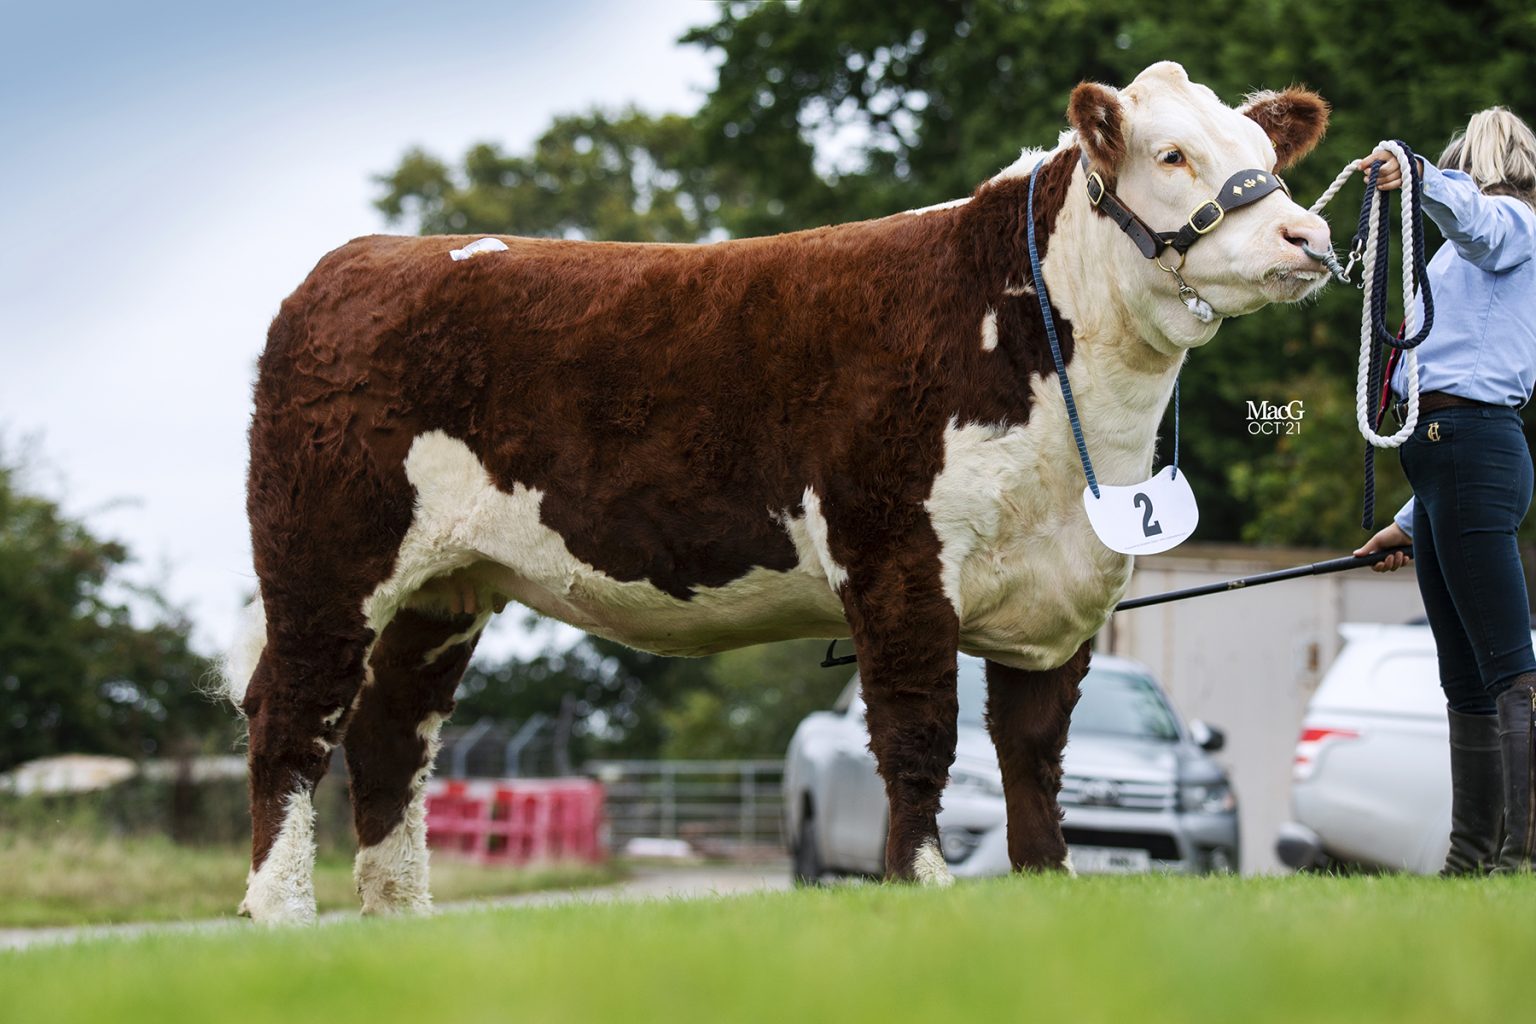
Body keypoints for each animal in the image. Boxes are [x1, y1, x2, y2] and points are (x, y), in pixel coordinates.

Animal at [223, 61, 1331, 923]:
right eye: (1172, 156)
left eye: (1267, 159)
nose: (1308, 239)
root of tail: (355, 263)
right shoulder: (894, 559)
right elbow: (921, 734)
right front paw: (921, 883)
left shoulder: (1062, 591)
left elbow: (1032, 755)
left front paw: (1046, 883)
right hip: (326, 560)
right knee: (292, 718)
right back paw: (280, 913)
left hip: (443, 588)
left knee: (390, 735)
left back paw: (396, 919)